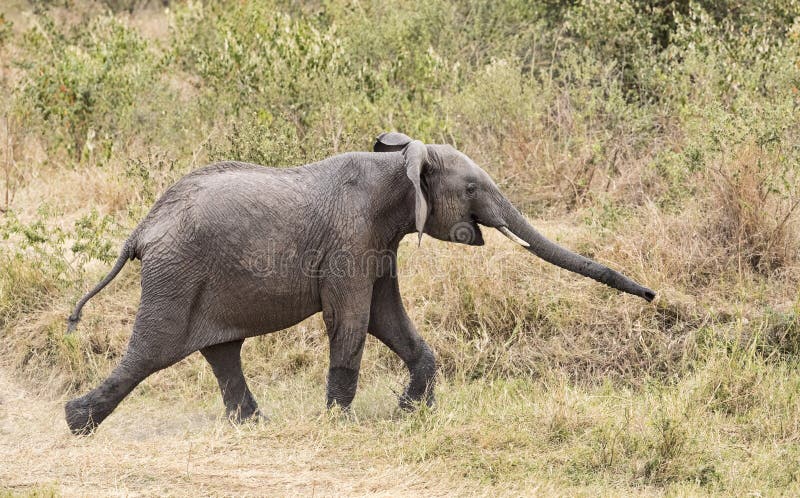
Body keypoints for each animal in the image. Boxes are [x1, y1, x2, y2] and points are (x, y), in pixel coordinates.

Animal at [64, 131, 655, 435]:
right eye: (471, 188)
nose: (651, 296)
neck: (395, 166)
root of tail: (142, 229)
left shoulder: (379, 245)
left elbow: (388, 321)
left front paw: (410, 414)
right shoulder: (350, 239)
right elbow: (351, 322)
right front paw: (339, 424)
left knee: (221, 350)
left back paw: (255, 426)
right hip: (176, 274)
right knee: (153, 350)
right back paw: (77, 424)